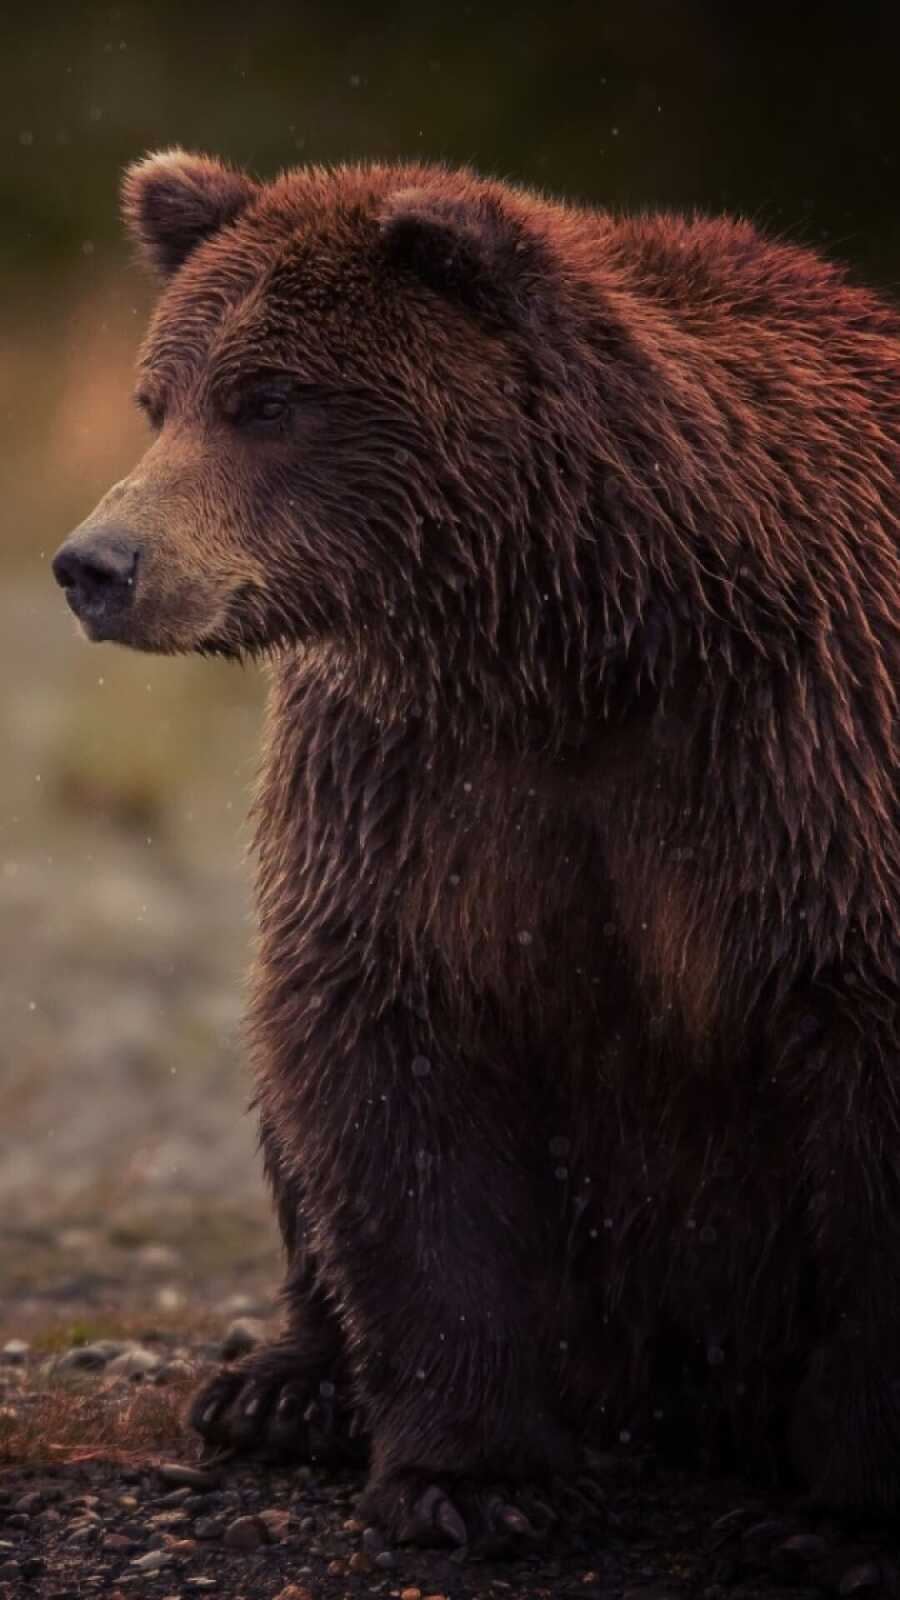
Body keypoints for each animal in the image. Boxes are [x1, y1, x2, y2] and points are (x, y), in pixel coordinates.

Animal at [52, 149, 900, 1548]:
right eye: (156, 398)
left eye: (267, 399)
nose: (96, 564)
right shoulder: (416, 783)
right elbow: (392, 1057)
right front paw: (474, 1477)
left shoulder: (799, 746)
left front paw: (836, 1516)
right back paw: (280, 1388)